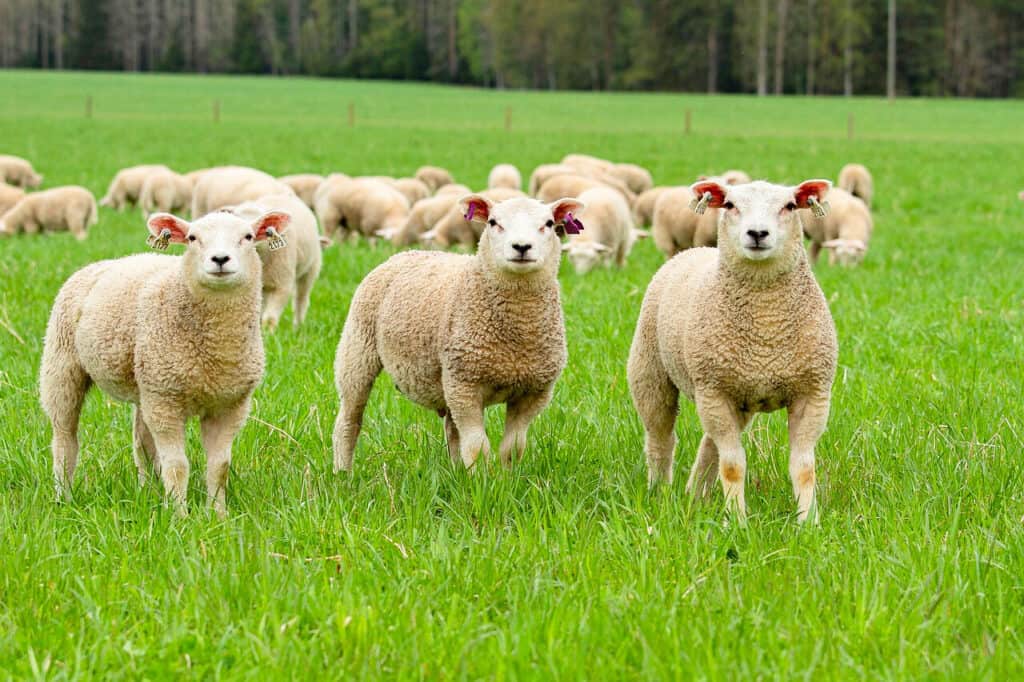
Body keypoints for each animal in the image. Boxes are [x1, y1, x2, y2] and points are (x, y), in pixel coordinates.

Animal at [40, 209, 288, 515]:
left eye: (248, 237)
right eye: (192, 238)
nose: (220, 259)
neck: (216, 351)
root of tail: (102, 263)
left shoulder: (230, 405)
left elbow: (219, 466)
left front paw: (218, 514)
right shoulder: (166, 402)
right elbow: (177, 466)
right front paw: (180, 516)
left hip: (145, 385)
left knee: (141, 443)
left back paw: (147, 491)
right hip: (62, 365)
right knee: (65, 439)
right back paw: (64, 496)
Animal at [227, 192, 324, 329]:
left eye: (265, 229)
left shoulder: (282, 285)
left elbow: (270, 319)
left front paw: (269, 333)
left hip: (310, 269)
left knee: (301, 299)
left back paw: (298, 327)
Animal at [332, 193, 584, 473]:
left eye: (549, 224)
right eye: (493, 222)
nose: (521, 247)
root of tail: (405, 254)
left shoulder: (534, 393)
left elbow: (513, 448)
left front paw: (508, 478)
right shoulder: (465, 386)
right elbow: (477, 447)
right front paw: (483, 480)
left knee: (452, 430)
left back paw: (455, 471)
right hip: (357, 349)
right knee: (349, 420)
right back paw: (342, 472)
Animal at [628, 178, 837, 523]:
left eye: (790, 206)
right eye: (730, 205)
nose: (757, 233)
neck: (767, 324)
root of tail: (695, 250)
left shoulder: (813, 393)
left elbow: (804, 467)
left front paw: (808, 521)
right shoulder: (715, 391)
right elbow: (733, 465)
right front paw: (737, 521)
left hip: (733, 393)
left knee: (709, 444)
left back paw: (695, 494)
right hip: (652, 372)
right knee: (660, 438)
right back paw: (659, 491)